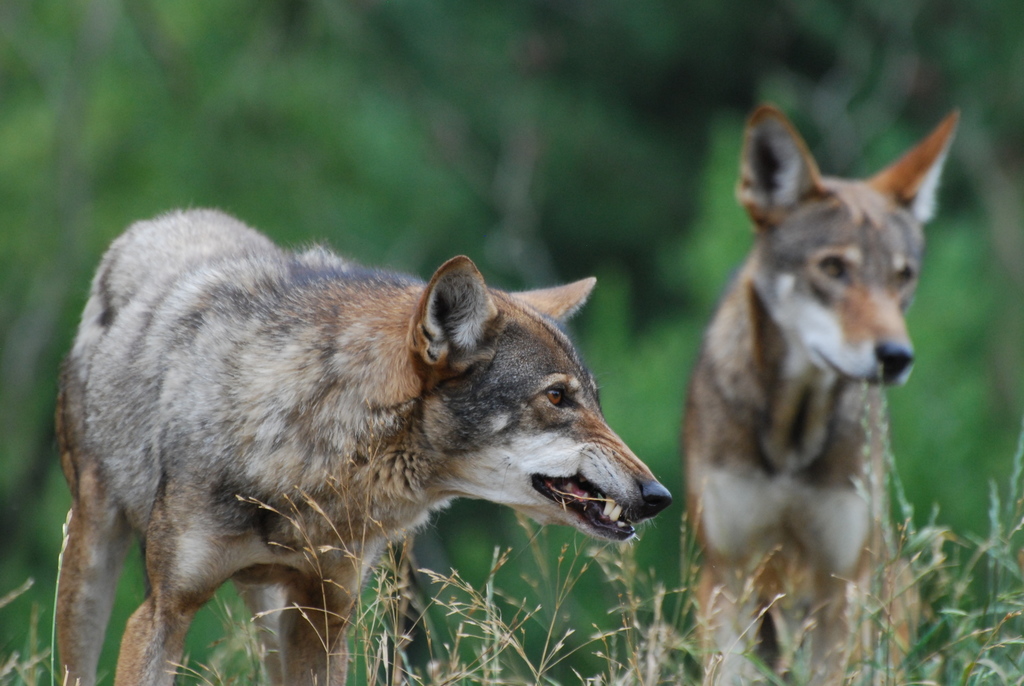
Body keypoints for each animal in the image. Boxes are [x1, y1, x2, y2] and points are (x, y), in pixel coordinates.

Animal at [56, 208, 672, 686]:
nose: (658, 495)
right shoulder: (164, 611)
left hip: (272, 614)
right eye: (557, 397)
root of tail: (160, 221)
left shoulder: (326, 617)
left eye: (595, 401)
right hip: (90, 560)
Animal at [683, 106, 957, 683]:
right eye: (834, 268)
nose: (896, 356)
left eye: (903, 276)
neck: (792, 435)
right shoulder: (728, 574)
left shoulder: (840, 582)